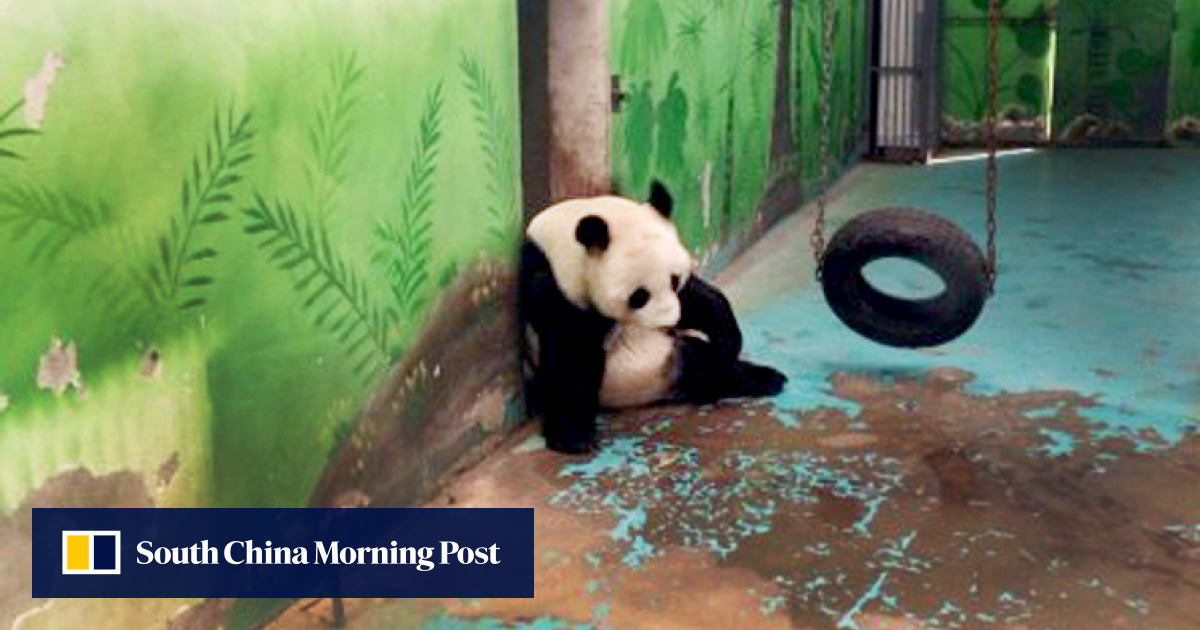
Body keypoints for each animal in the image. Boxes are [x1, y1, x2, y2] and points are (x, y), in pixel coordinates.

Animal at [520, 181, 787, 454]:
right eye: (639, 296)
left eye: (674, 279)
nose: (668, 323)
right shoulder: (556, 288)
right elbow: (572, 358)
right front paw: (573, 437)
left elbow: (697, 300)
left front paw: (728, 337)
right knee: (703, 367)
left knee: (709, 365)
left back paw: (765, 377)